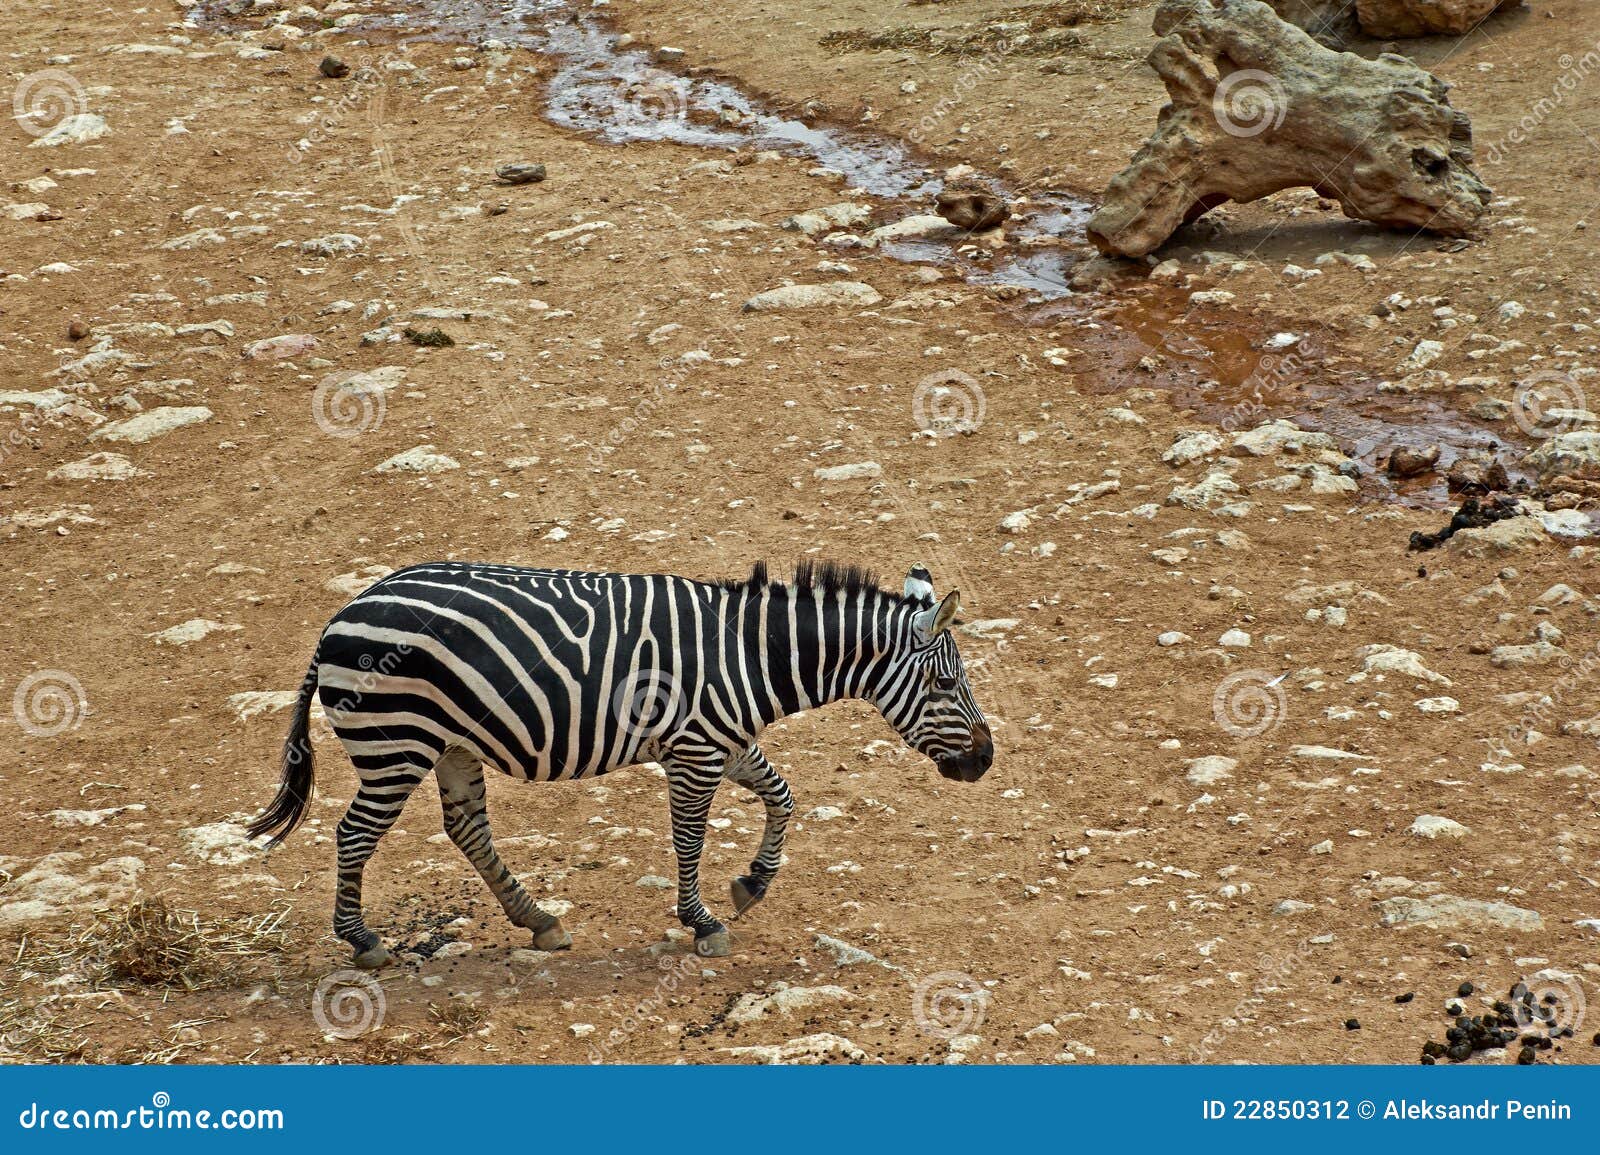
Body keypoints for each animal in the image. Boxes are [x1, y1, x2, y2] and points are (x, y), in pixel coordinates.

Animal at [248, 559, 994, 965]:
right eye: (945, 684)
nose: (985, 760)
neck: (750, 654)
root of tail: (341, 614)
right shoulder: (695, 751)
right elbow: (690, 838)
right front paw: (703, 922)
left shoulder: (723, 740)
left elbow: (783, 795)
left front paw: (751, 884)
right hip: (395, 744)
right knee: (354, 834)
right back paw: (362, 940)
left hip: (450, 744)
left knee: (466, 828)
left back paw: (538, 920)